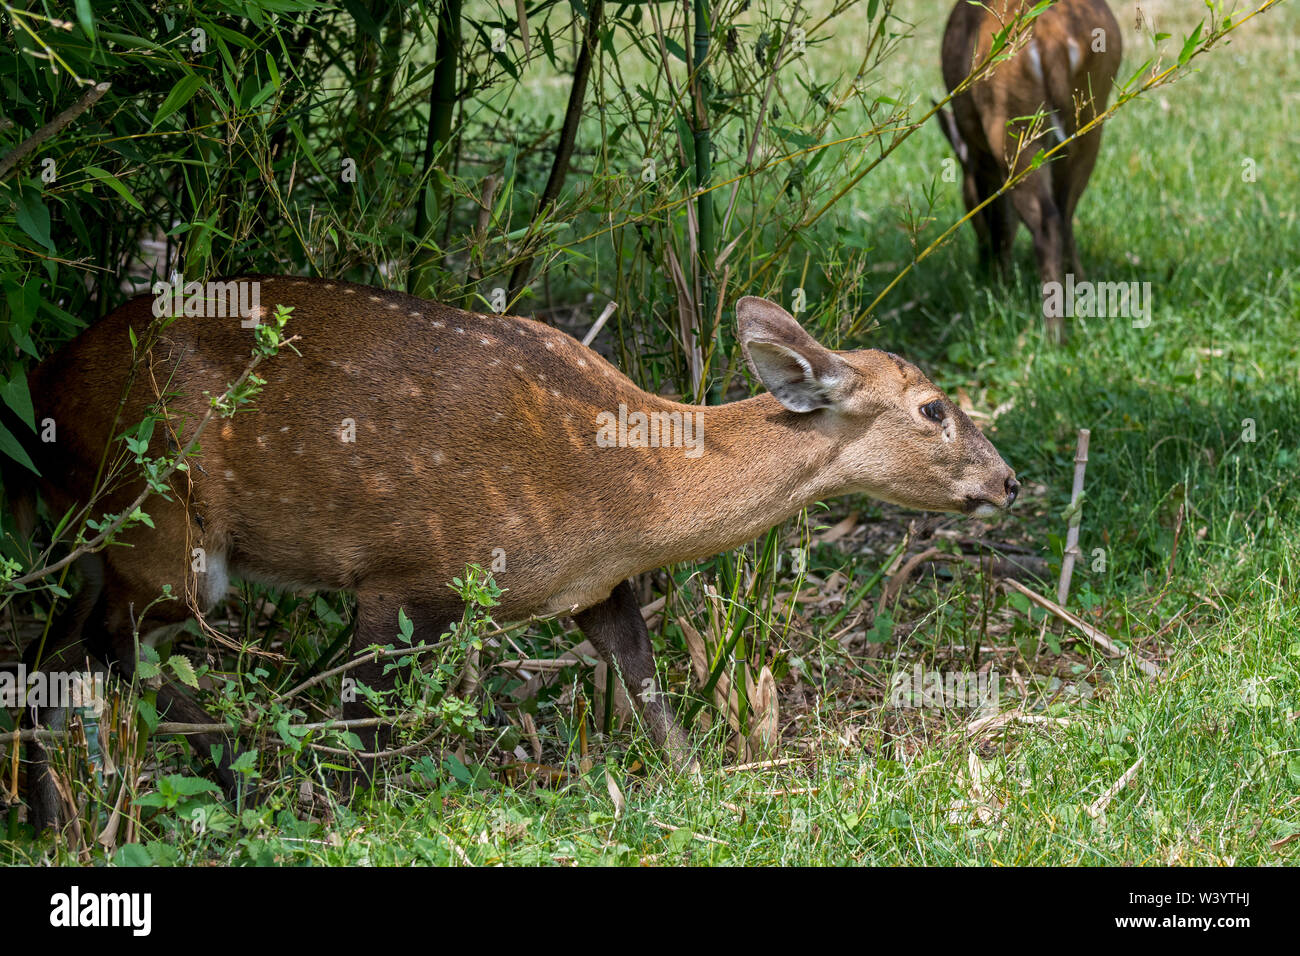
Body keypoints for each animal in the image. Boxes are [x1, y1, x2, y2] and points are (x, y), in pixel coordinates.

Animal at [8, 278, 1018, 828]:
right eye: (933, 407)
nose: (1008, 483)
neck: (626, 482)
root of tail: (39, 383)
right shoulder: (405, 575)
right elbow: (365, 719)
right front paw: (346, 813)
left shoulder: (597, 586)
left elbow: (647, 685)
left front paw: (701, 783)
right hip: (160, 523)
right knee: (107, 647)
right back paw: (228, 773)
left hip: (105, 537)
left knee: (49, 648)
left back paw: (48, 815)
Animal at [935, 0, 1122, 341]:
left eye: (965, 202)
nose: (980, 260)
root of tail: (1053, 40)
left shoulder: (978, 148)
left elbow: (999, 219)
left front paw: (998, 284)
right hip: (1091, 117)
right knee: (1065, 212)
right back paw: (1082, 292)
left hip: (1011, 121)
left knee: (1046, 221)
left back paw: (1054, 334)